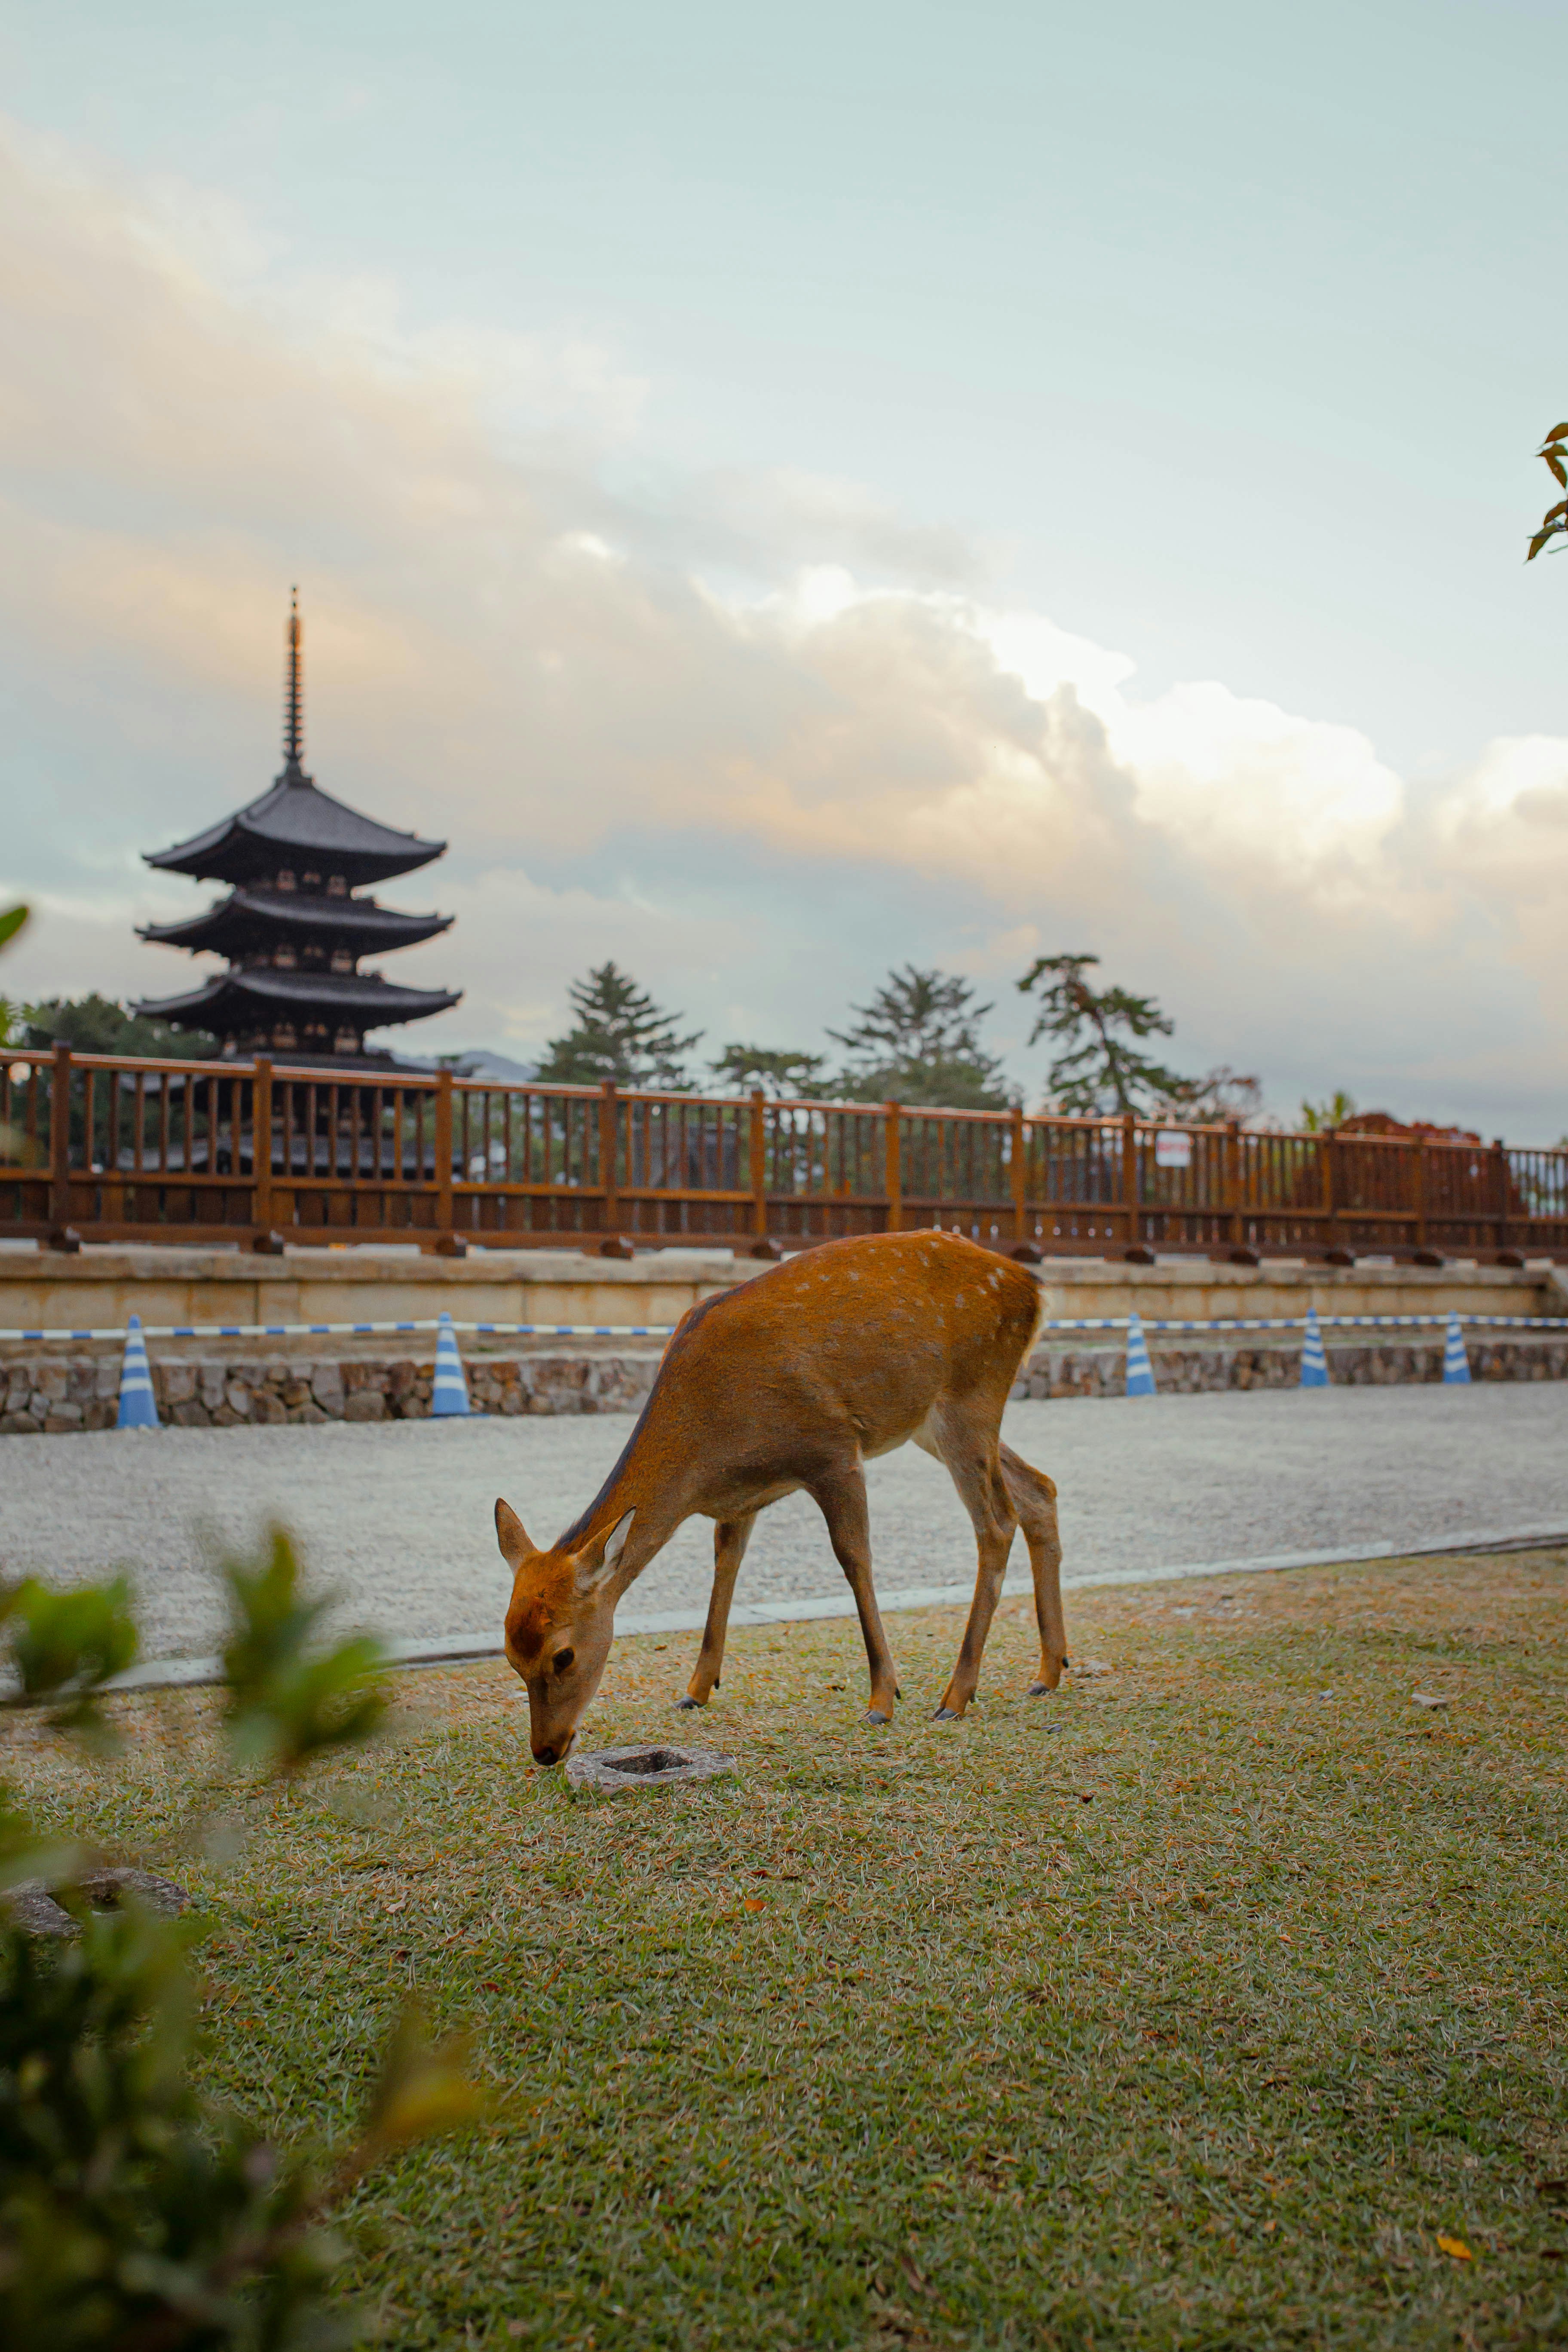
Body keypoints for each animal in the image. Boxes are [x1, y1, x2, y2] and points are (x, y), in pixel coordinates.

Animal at [495, 1227, 1067, 1765]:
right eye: (510, 1657)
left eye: (563, 1655)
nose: (546, 1751)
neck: (709, 1451)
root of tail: (1035, 1289)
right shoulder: (738, 1499)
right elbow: (726, 1565)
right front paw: (696, 1689)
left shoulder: (833, 1449)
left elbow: (854, 1559)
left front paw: (882, 1699)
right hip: (934, 1421)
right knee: (1040, 1488)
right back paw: (1048, 1671)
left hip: (971, 1396)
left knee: (997, 1522)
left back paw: (957, 1695)